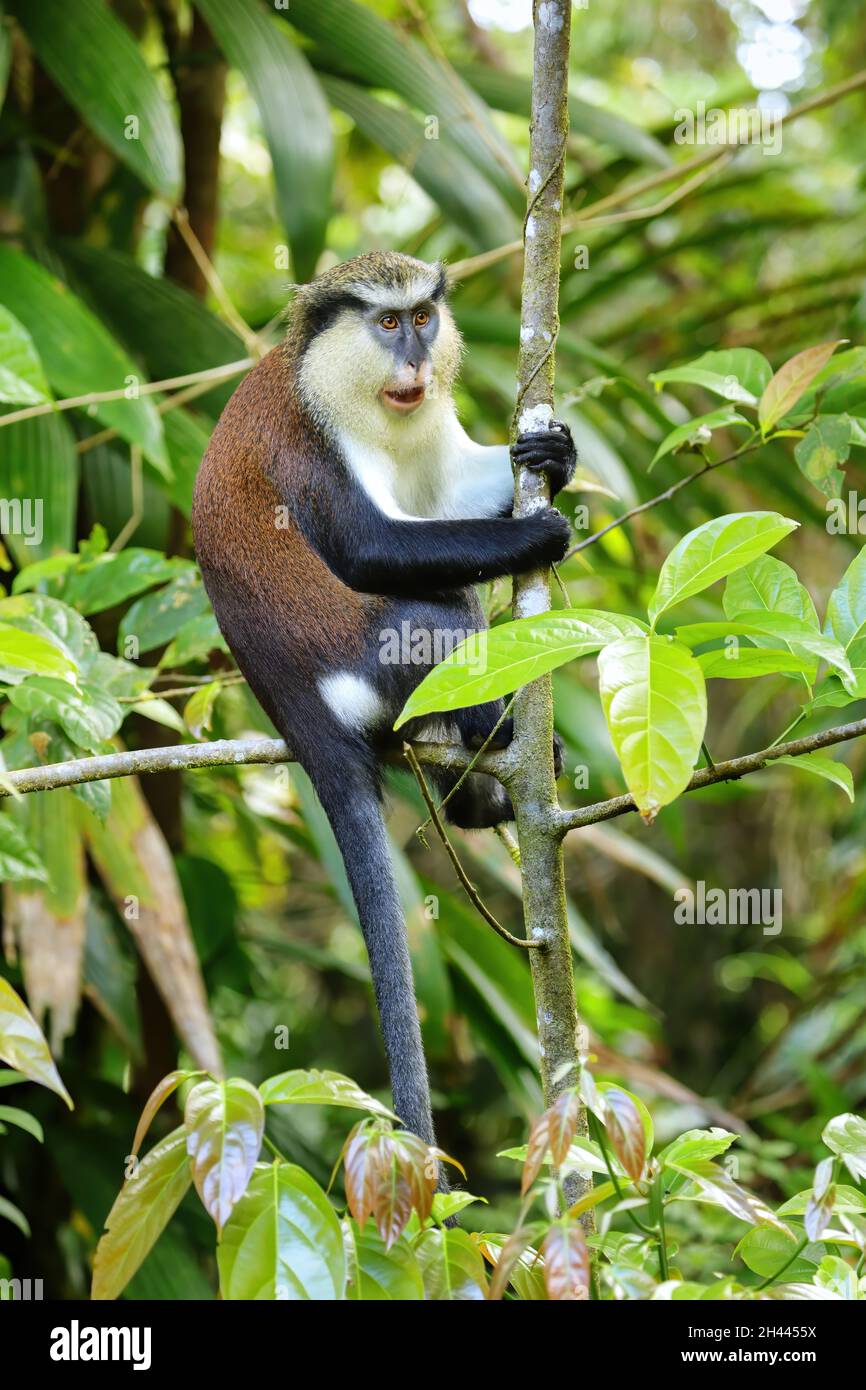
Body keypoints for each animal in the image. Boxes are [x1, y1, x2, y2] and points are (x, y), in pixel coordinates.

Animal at [192, 252, 575, 1152]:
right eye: (386, 323)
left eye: (423, 317)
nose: (414, 359)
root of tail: (299, 708)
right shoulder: (307, 441)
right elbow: (373, 547)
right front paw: (538, 535)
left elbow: (453, 493)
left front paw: (555, 452)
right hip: (379, 658)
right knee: (441, 616)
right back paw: (501, 747)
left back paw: (477, 797)